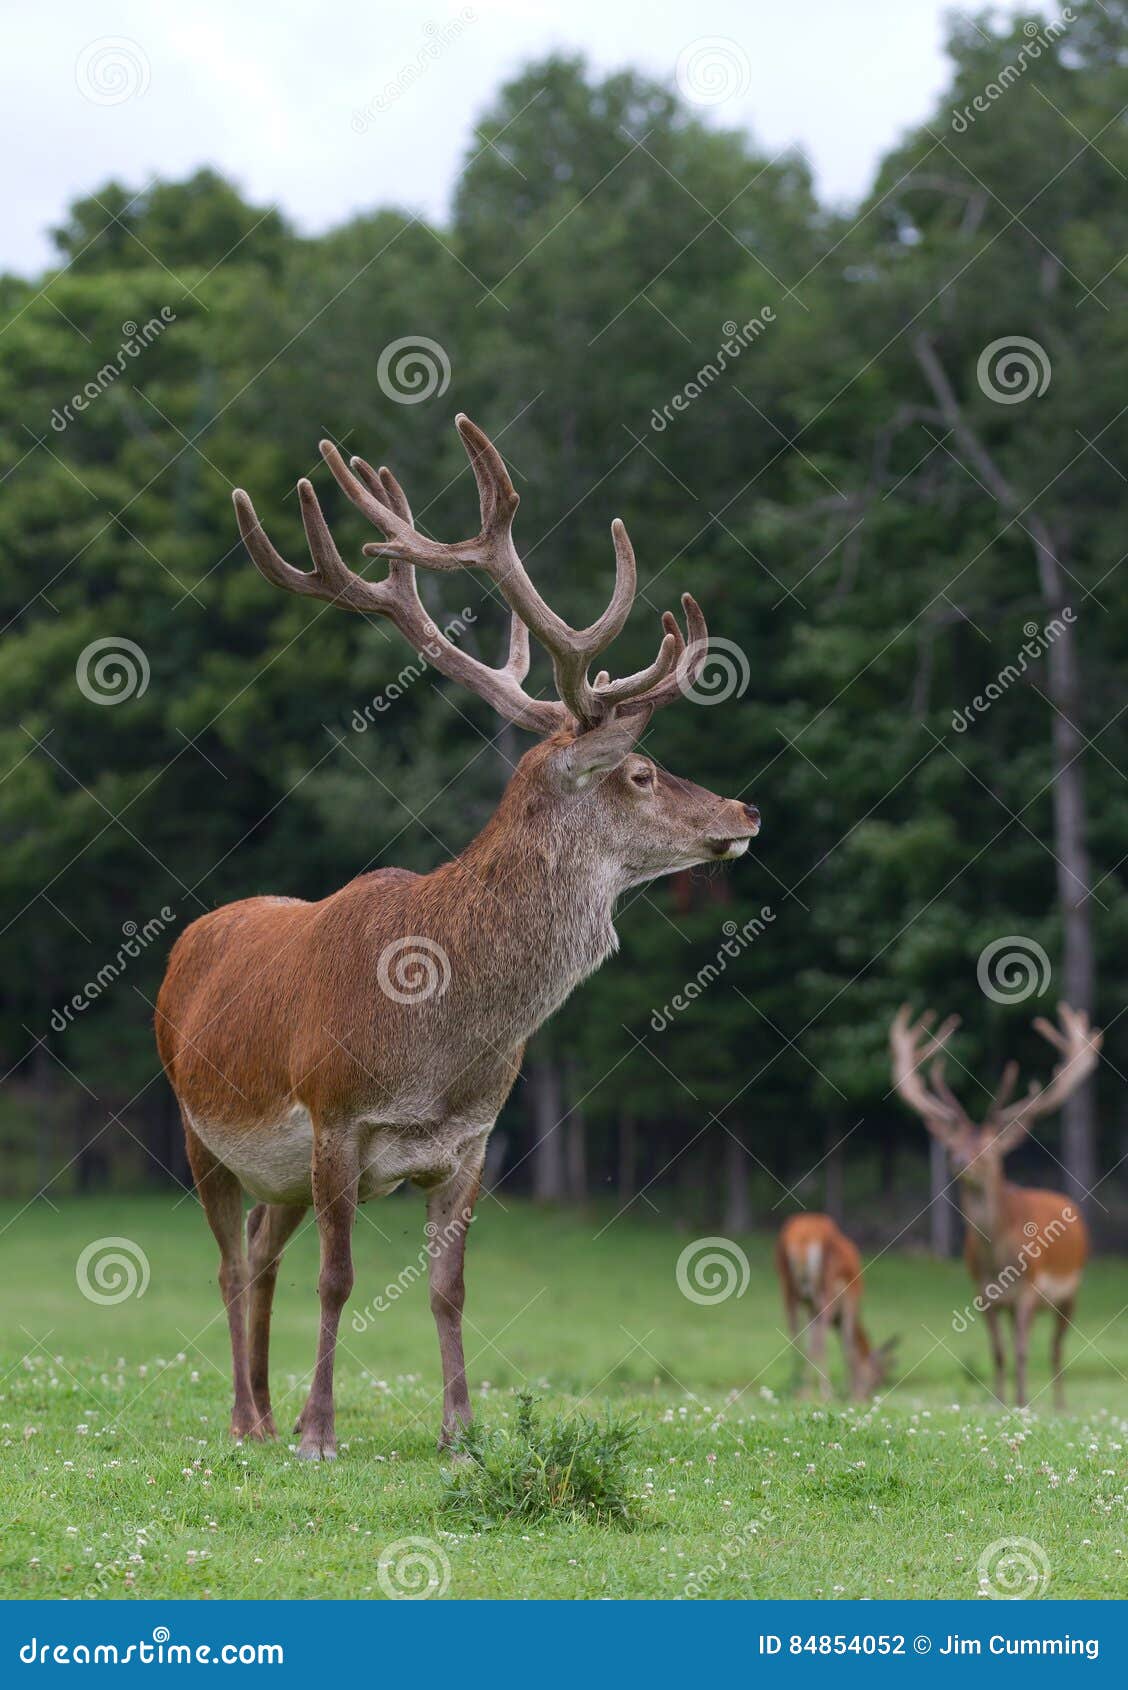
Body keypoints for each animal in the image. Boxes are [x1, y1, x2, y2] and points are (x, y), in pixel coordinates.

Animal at [155, 414, 762, 1460]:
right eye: (641, 771)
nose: (746, 811)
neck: (436, 1042)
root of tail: (189, 939)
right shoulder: (333, 1114)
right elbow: (340, 1280)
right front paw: (323, 1433)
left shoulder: (474, 1140)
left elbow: (449, 1288)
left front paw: (461, 1430)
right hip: (199, 1127)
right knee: (232, 1265)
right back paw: (246, 1418)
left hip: (275, 1174)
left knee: (265, 1256)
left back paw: (266, 1411)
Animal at [776, 1213, 897, 1399]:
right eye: (877, 1378)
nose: (867, 1396)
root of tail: (802, 1237)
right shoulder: (851, 1299)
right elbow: (847, 1345)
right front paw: (850, 1392)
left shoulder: (812, 1307)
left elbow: (811, 1339)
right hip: (826, 1288)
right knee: (822, 1341)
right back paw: (826, 1392)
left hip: (788, 1287)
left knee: (795, 1333)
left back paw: (800, 1389)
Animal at [889, 1002, 1100, 1410]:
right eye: (953, 1142)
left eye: (987, 1148)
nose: (957, 1160)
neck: (999, 1260)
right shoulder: (982, 1294)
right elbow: (998, 1353)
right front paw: (1001, 1402)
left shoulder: (1029, 1293)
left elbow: (1021, 1351)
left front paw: (1022, 1402)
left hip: (1071, 1291)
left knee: (1056, 1349)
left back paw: (1060, 1404)